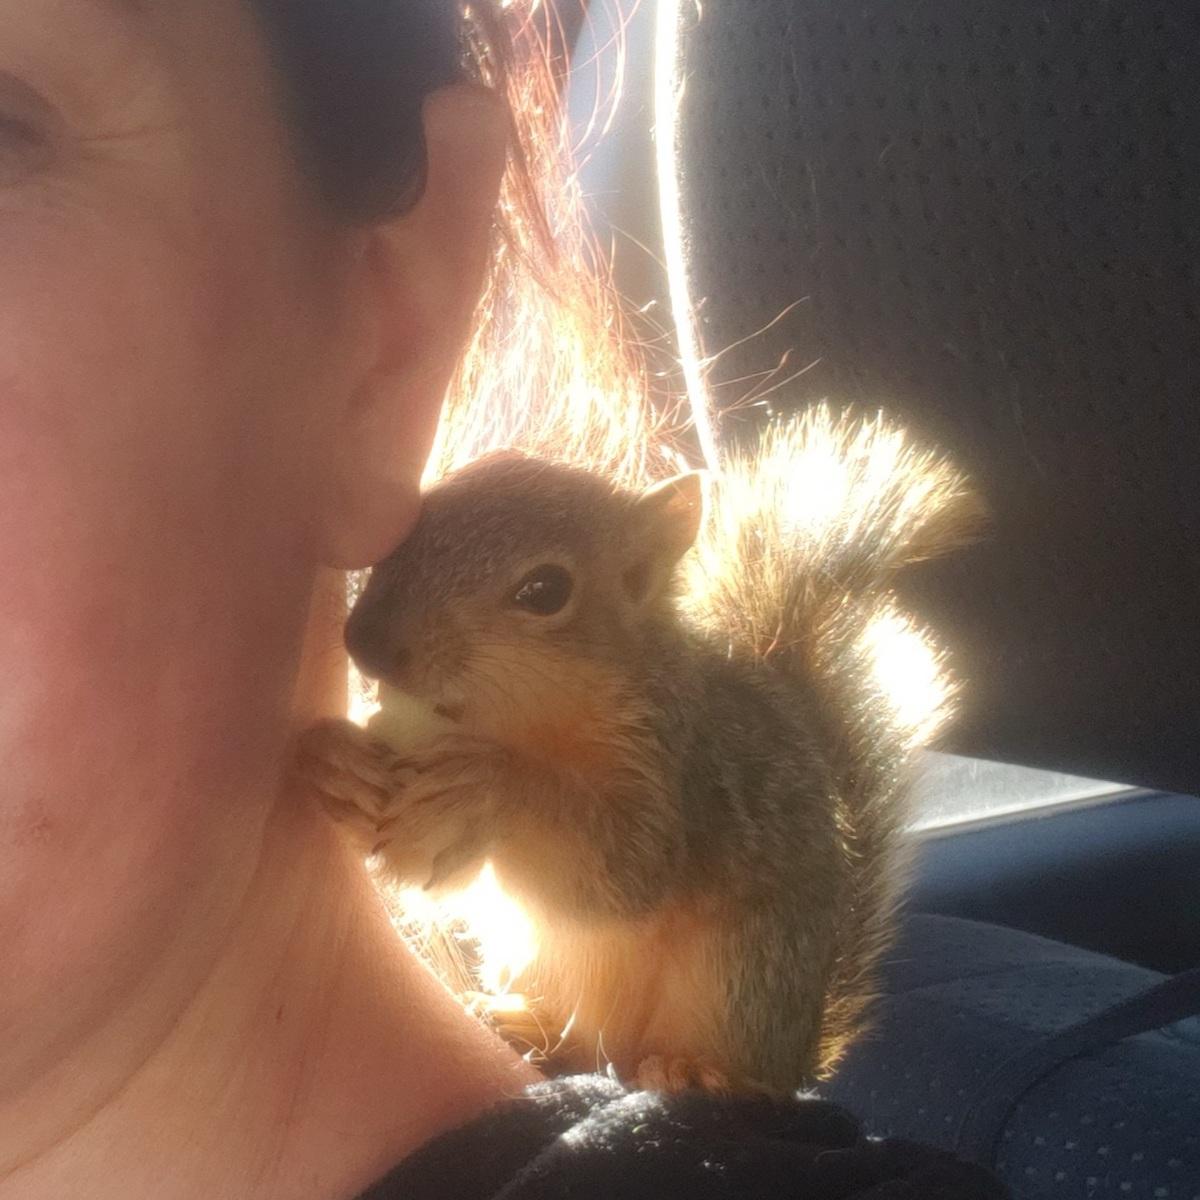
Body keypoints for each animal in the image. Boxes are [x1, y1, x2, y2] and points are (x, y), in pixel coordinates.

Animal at [295, 408, 979, 1094]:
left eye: (545, 590)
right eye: (412, 520)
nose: (367, 644)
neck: (517, 717)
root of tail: (795, 1059)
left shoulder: (677, 763)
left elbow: (628, 868)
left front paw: (488, 787)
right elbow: (446, 876)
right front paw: (337, 762)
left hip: (740, 971)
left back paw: (694, 1070)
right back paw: (526, 1024)